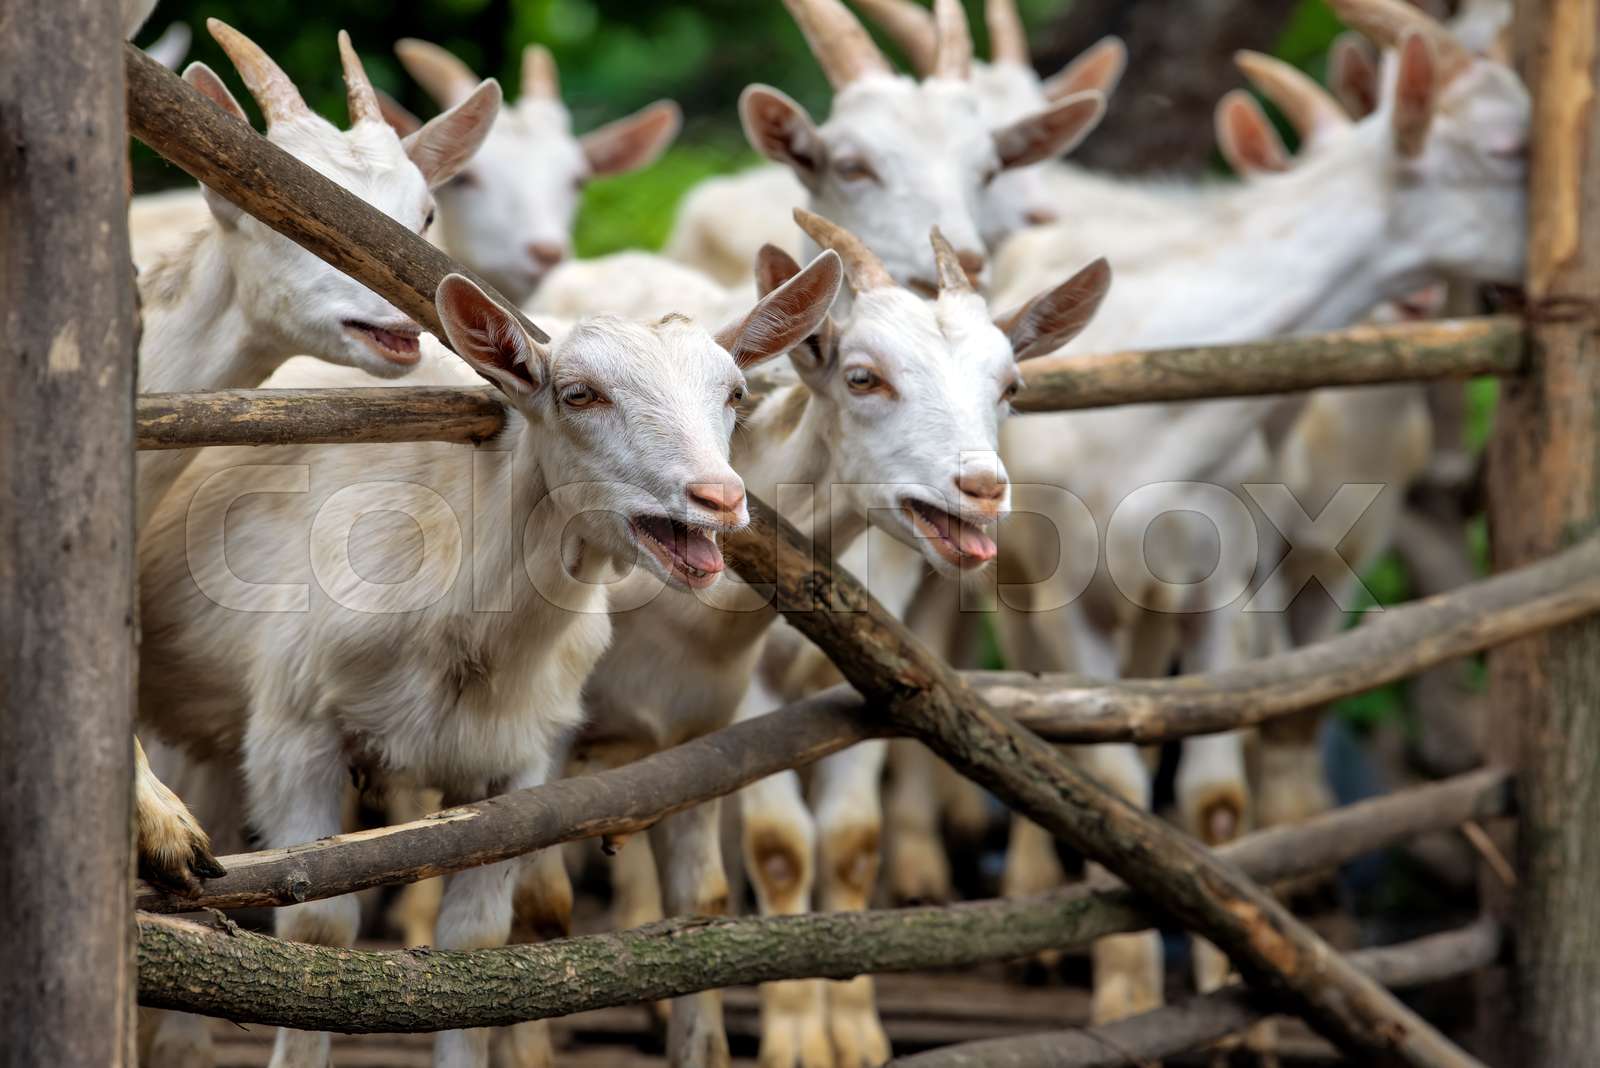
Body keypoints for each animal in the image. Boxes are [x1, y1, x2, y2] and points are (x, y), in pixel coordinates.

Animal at [135, 253, 842, 1068]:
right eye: (579, 393)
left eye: (735, 394)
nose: (718, 497)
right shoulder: (294, 732)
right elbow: (318, 929)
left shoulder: (515, 771)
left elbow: (474, 944)